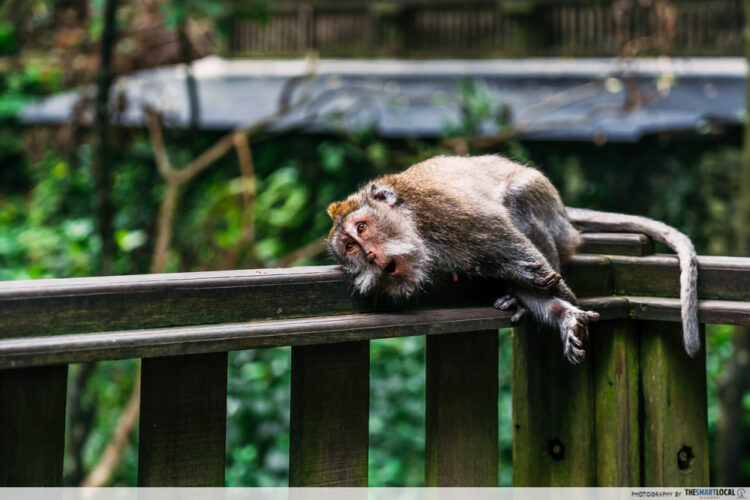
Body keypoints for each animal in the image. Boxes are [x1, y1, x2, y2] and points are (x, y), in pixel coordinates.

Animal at [326, 155, 699, 364]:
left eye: (362, 227)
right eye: (349, 247)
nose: (369, 254)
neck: (411, 218)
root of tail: (565, 215)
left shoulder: (441, 209)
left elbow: (500, 236)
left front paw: (559, 297)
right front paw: (560, 313)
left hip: (549, 211)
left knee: (517, 198)